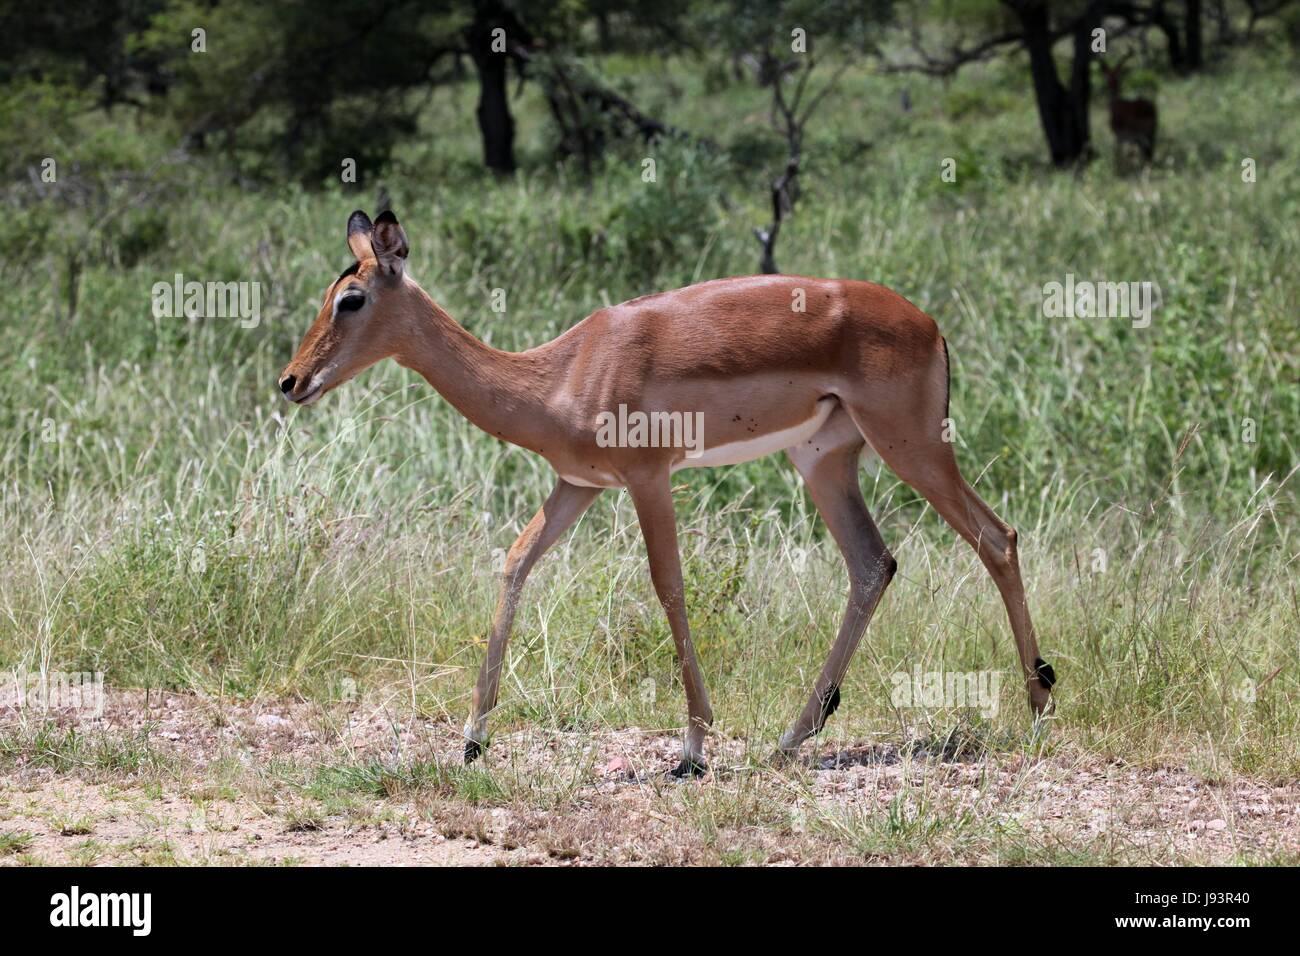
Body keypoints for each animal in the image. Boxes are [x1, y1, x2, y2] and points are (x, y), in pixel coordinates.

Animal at [279, 210, 1056, 777]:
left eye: (351, 298)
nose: (291, 381)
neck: (562, 374)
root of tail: (929, 323)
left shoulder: (648, 478)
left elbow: (668, 586)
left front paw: (692, 748)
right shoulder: (578, 485)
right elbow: (515, 562)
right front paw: (473, 739)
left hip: (912, 446)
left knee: (997, 537)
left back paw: (1040, 705)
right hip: (825, 461)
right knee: (873, 564)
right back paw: (791, 736)